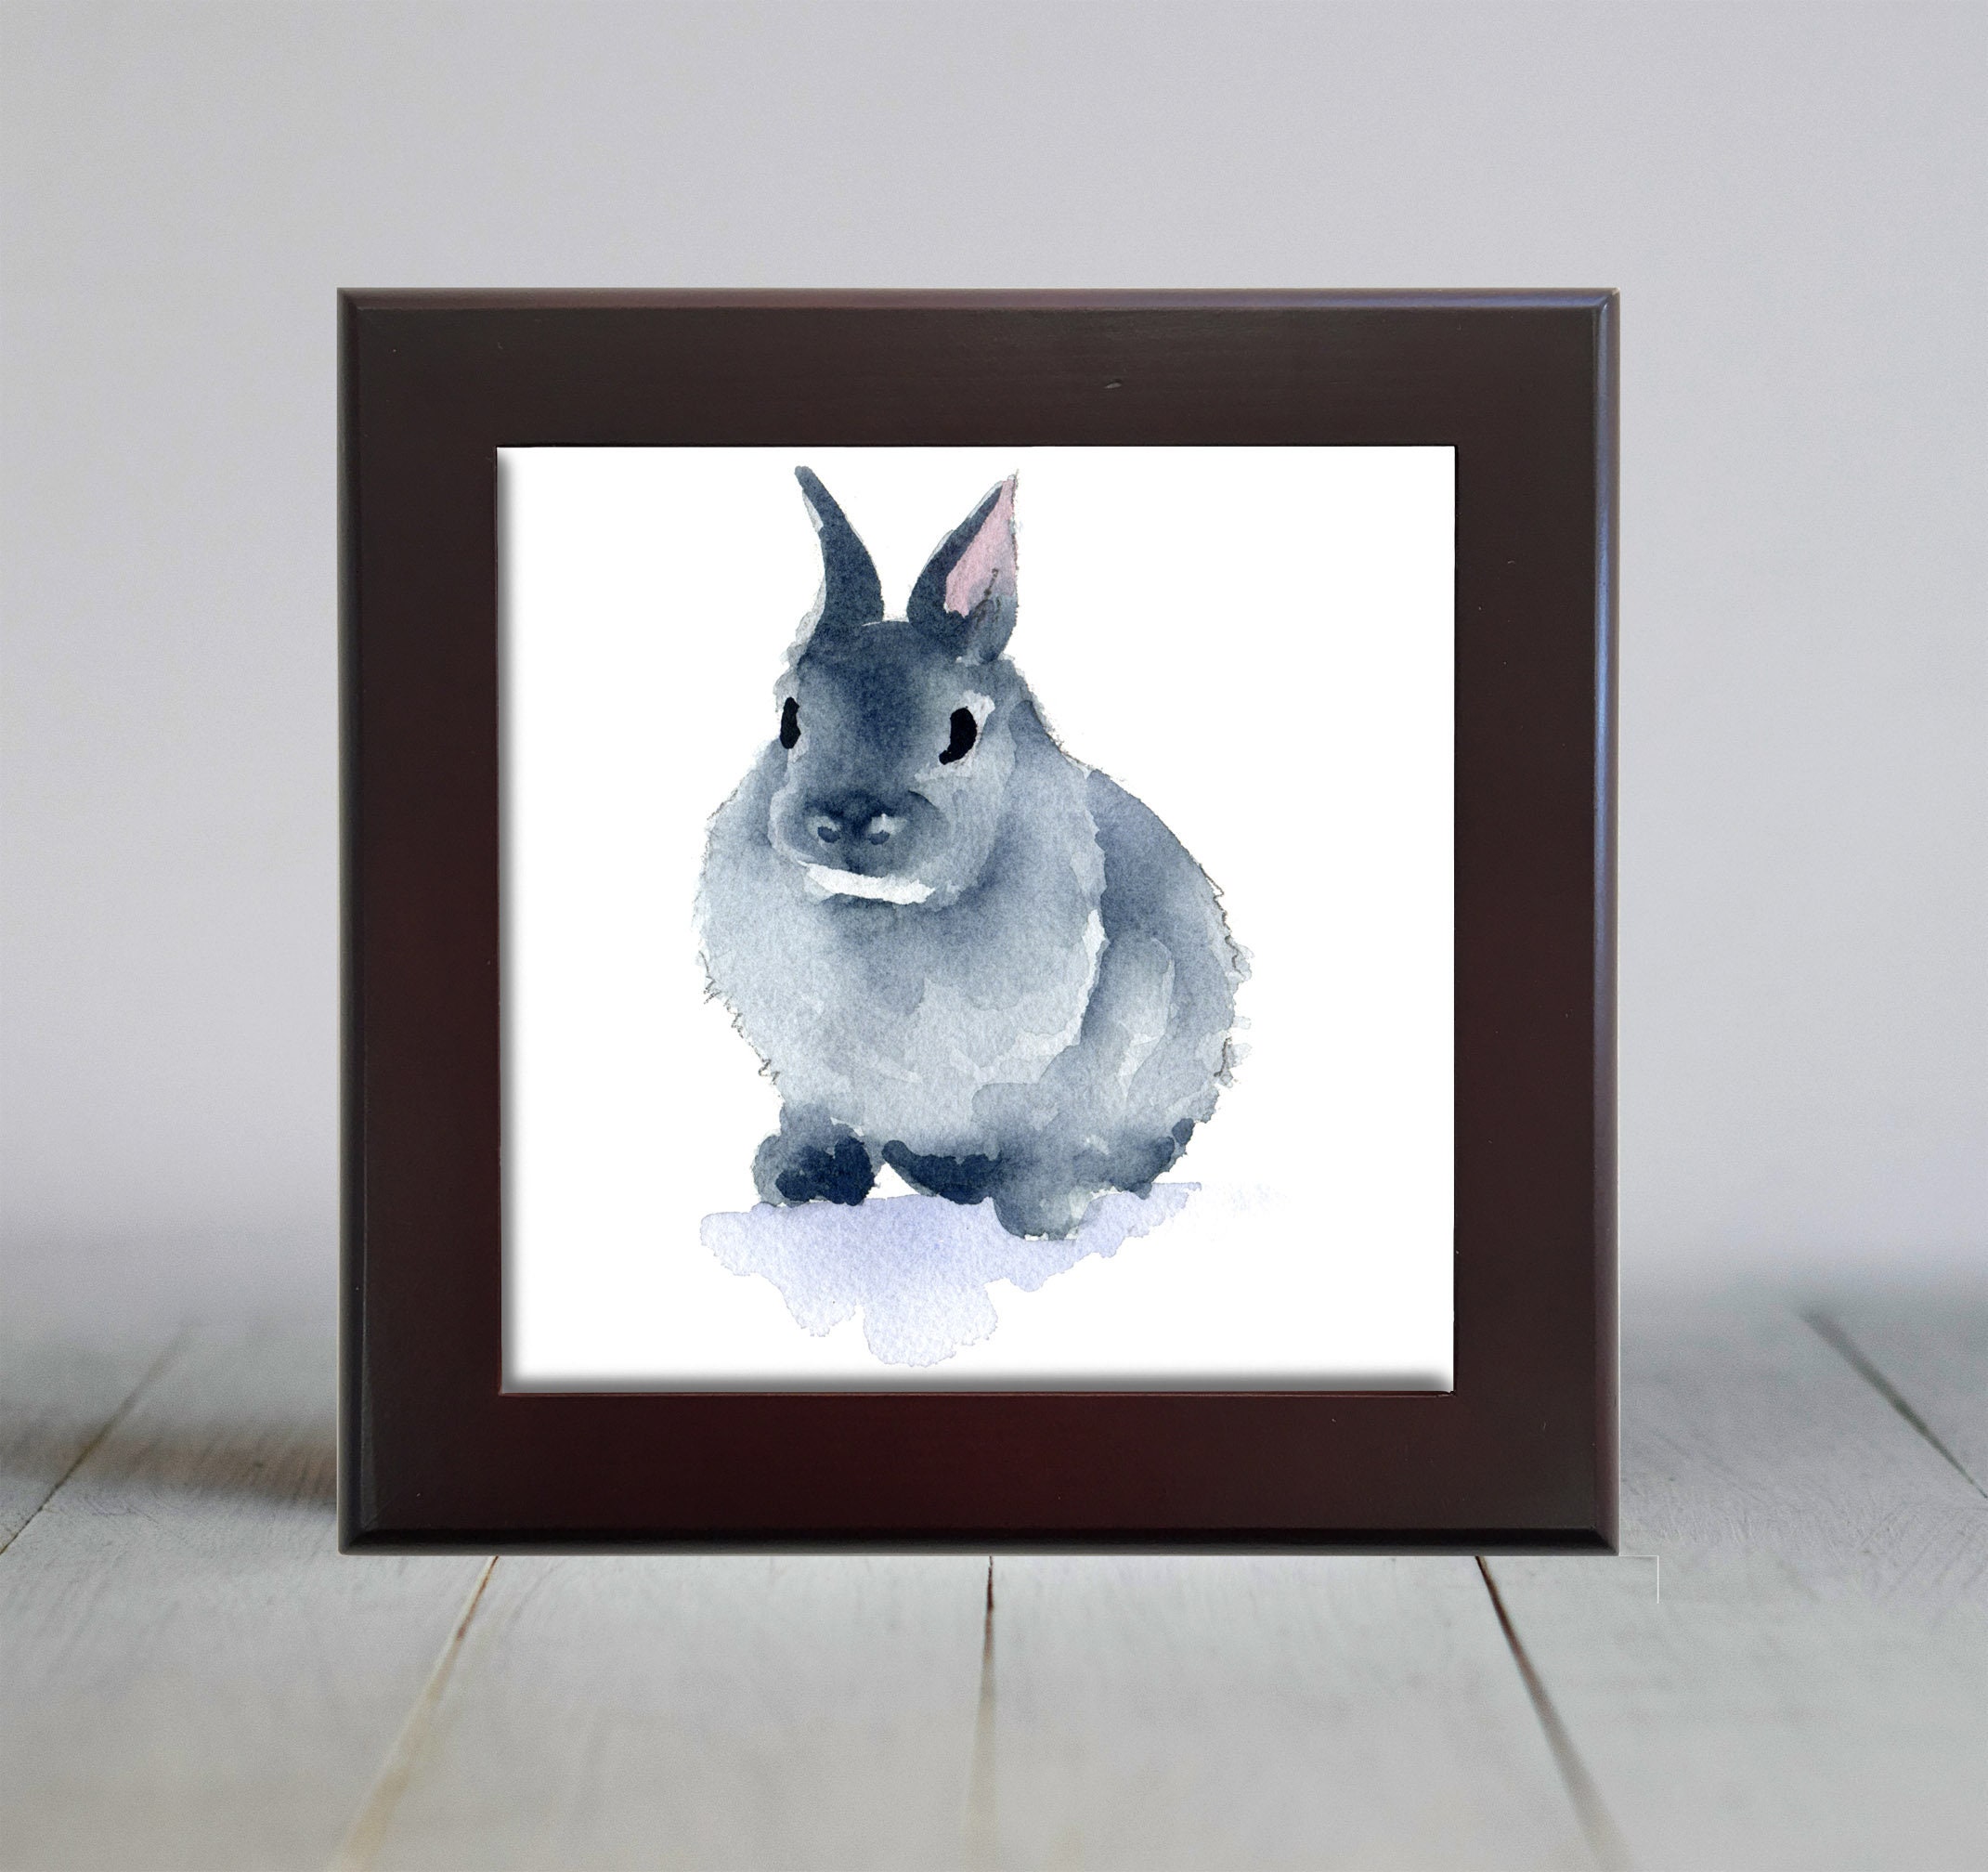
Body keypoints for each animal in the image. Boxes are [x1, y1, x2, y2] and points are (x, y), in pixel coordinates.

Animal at [697, 469, 1244, 1240]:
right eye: (790, 720)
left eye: (959, 733)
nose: (848, 819)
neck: (882, 913)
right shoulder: (813, 1085)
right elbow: (822, 1119)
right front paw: (795, 1176)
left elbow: (1053, 1143)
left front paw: (1042, 1214)